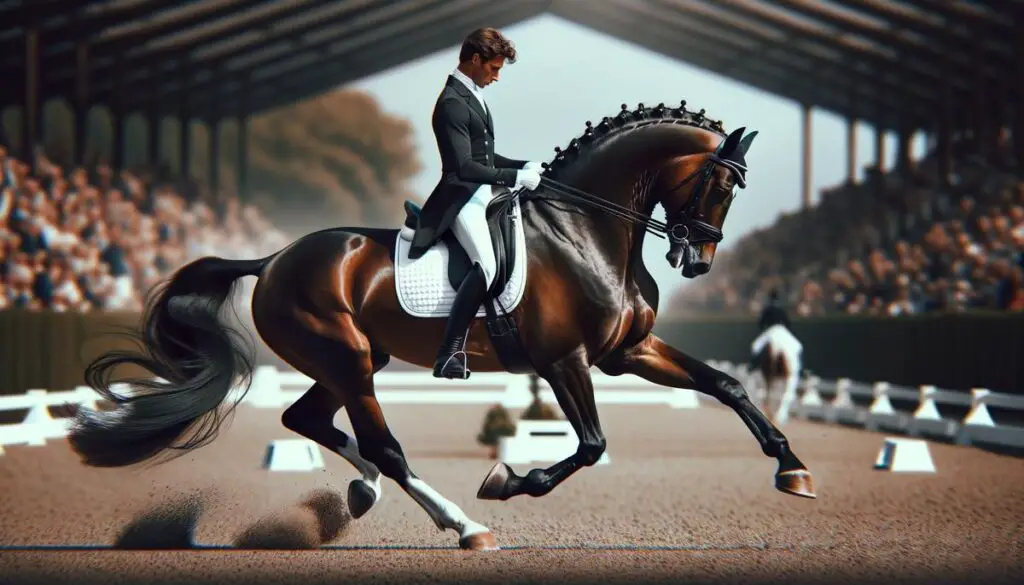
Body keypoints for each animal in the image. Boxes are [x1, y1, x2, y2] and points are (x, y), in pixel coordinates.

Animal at [67, 100, 816, 552]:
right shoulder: (565, 360)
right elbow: (592, 444)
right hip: (345, 359)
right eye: (720, 184)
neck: (587, 228)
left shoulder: (626, 349)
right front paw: (509, 480)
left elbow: (725, 385)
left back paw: (363, 491)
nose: (697, 260)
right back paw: (465, 523)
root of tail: (273, 258)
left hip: (350, 360)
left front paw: (794, 469)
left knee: (307, 420)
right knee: (385, 445)